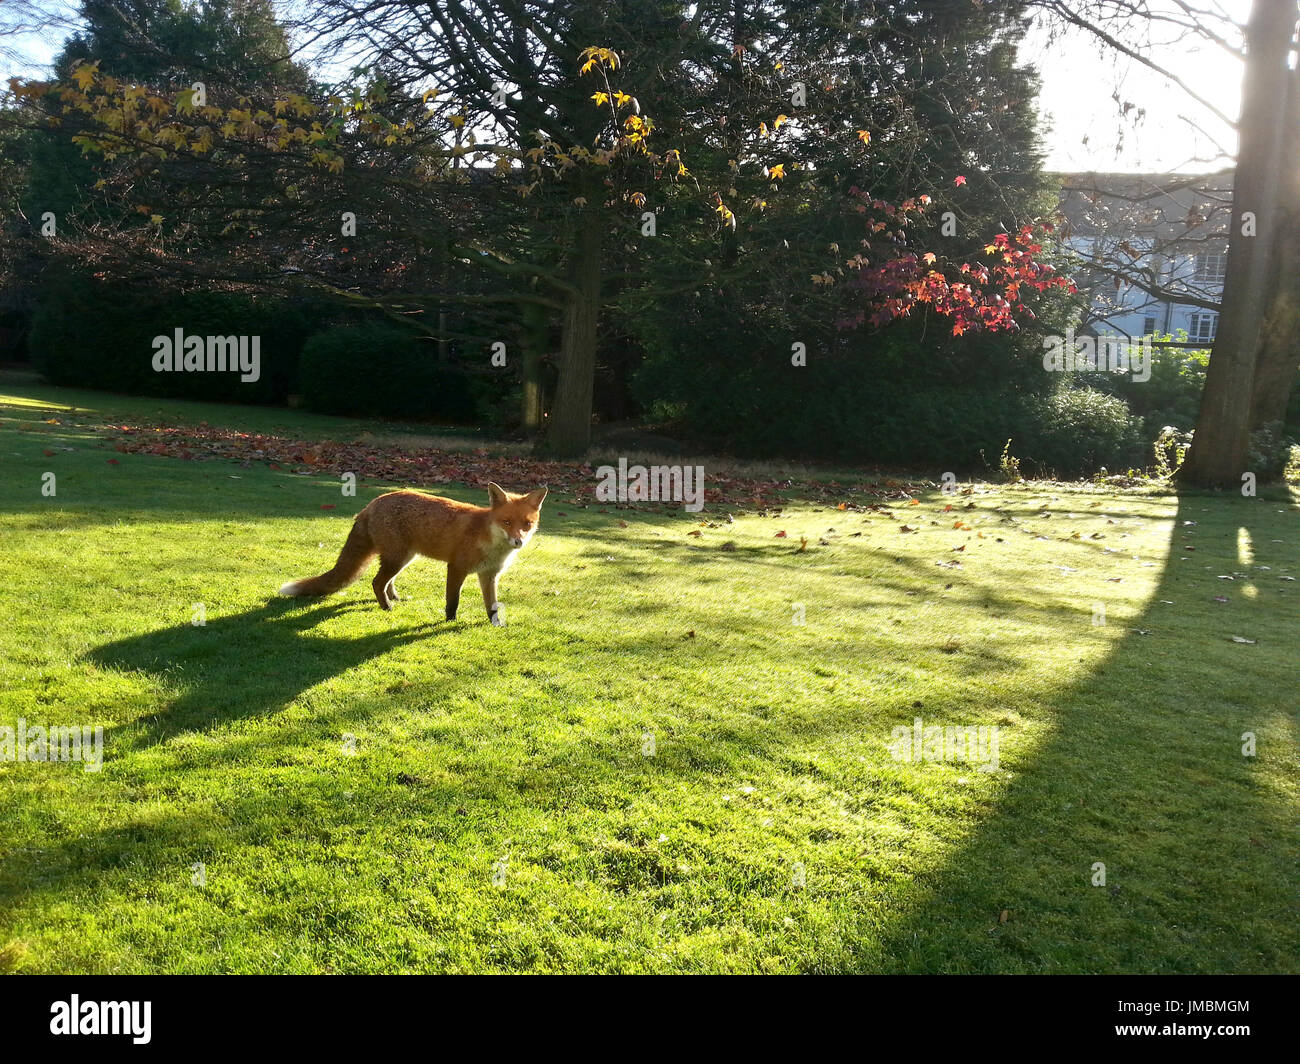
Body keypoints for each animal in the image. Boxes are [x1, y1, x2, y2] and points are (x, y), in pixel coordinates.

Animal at [278, 483, 547, 626]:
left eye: (527, 524)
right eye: (506, 522)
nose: (518, 541)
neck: (488, 539)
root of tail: (371, 504)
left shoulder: (489, 575)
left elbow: (492, 605)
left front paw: (496, 625)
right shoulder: (456, 567)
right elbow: (453, 601)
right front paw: (450, 622)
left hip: (404, 558)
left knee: (386, 582)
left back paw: (394, 599)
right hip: (397, 558)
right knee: (376, 582)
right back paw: (386, 607)